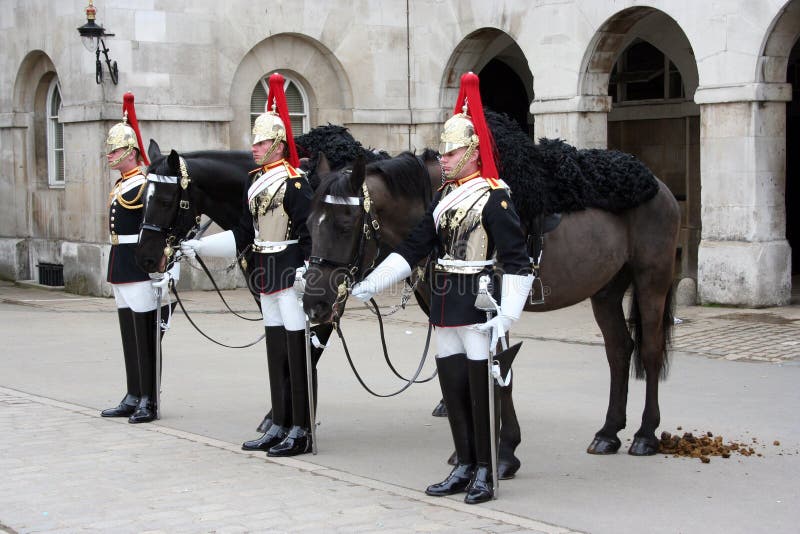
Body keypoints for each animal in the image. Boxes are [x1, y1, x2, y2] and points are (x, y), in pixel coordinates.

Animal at [302, 114, 681, 458]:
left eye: (345, 224)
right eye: (308, 223)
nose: (313, 302)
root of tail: (660, 186)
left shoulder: (494, 310)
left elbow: (497, 373)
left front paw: (504, 448)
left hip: (652, 280)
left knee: (648, 350)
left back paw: (645, 435)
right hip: (605, 290)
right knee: (619, 349)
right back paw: (608, 432)